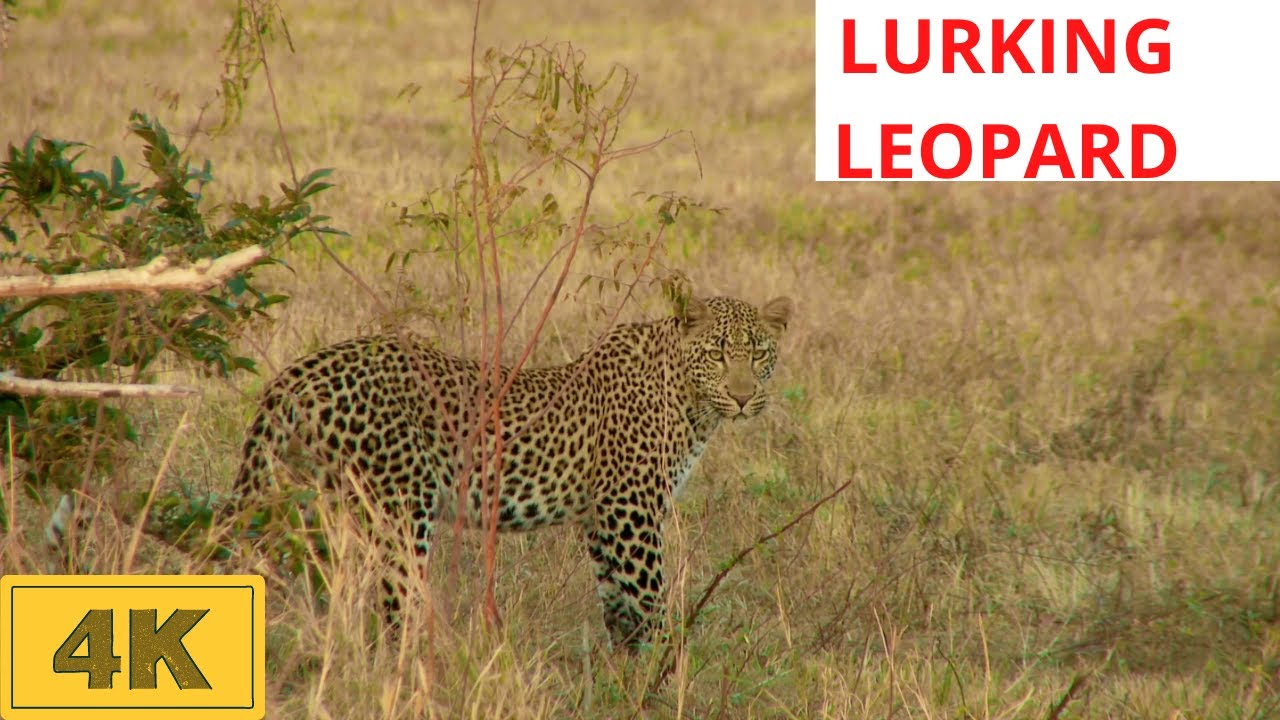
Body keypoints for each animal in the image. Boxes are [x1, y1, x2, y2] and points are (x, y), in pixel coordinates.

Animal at [232, 294, 793, 650]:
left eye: (759, 353)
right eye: (718, 354)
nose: (744, 398)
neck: (691, 401)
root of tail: (297, 372)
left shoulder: (600, 519)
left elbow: (617, 608)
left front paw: (628, 678)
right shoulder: (630, 511)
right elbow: (649, 601)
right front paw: (667, 674)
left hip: (316, 505)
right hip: (398, 510)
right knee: (394, 605)